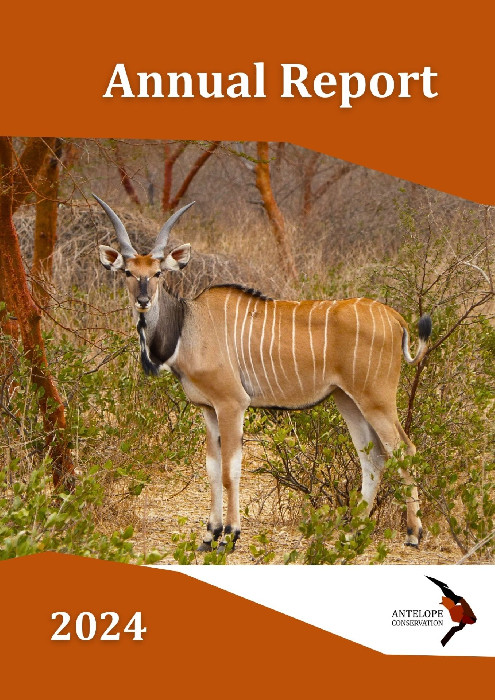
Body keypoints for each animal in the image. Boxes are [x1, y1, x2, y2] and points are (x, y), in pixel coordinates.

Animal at [95, 195, 432, 550]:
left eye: (158, 272)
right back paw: (353, 531)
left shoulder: (232, 405)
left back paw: (412, 533)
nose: (143, 300)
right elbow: (212, 469)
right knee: (373, 458)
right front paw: (209, 534)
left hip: (376, 400)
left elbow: (230, 470)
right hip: (348, 400)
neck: (189, 324)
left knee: (404, 450)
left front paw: (230, 534)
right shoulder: (208, 409)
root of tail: (394, 317)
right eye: (128, 272)